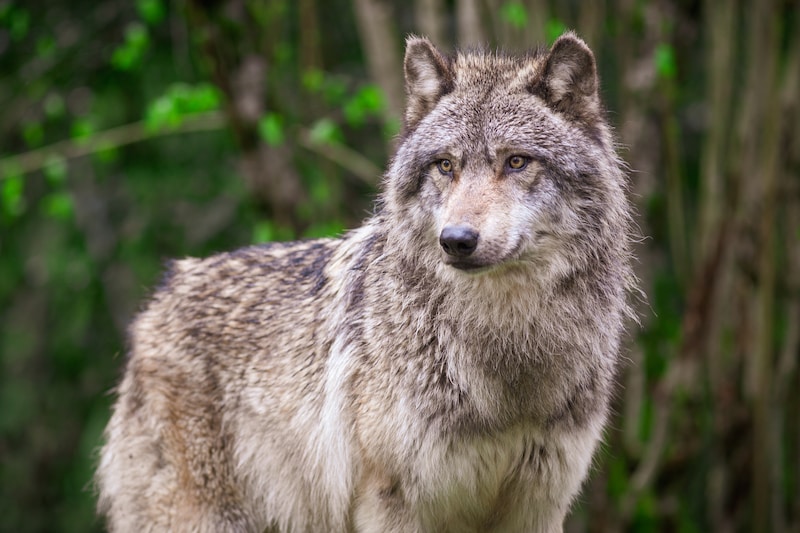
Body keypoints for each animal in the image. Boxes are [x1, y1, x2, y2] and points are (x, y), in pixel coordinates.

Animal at [96, 32, 635, 532]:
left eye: (517, 161)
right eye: (445, 165)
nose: (456, 240)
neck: (508, 361)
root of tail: (162, 294)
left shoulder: (538, 507)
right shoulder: (394, 503)